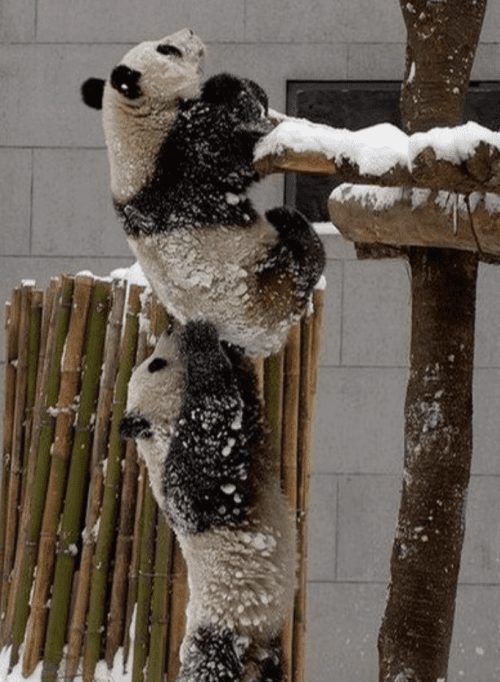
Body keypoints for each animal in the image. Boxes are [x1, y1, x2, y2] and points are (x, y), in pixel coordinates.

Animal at [81, 29, 325, 356]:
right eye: (167, 49)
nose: (191, 32)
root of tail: (263, 342)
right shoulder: (179, 159)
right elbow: (231, 147)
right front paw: (225, 85)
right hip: (269, 281)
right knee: (303, 261)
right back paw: (289, 221)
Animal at [120, 321, 296, 681]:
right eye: (156, 364)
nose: (169, 329)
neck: (157, 432)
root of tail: (251, 655)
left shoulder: (248, 433)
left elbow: (246, 403)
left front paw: (230, 348)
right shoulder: (182, 482)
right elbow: (212, 439)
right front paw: (201, 338)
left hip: (266, 640)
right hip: (220, 627)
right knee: (210, 665)